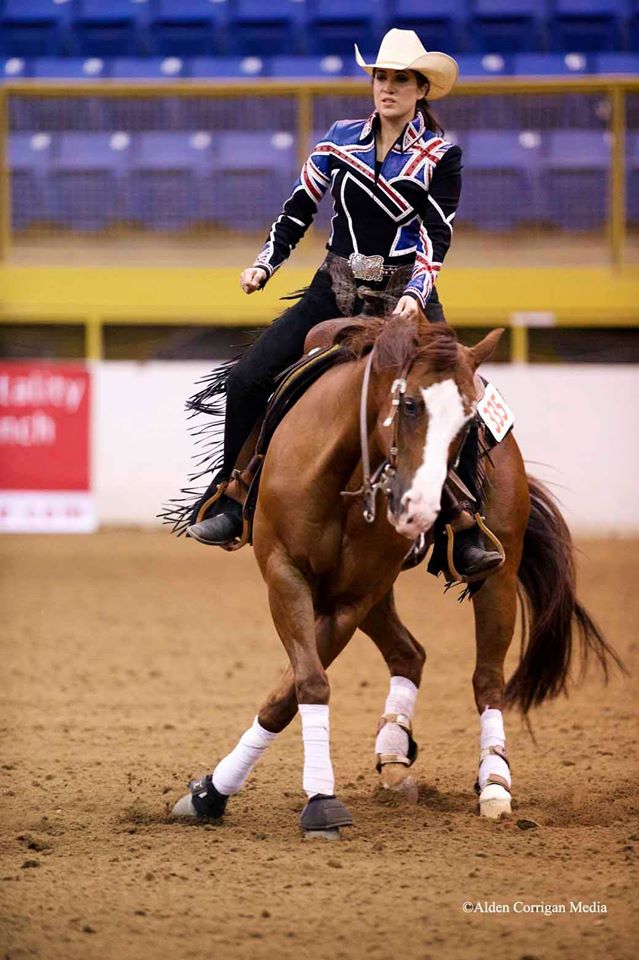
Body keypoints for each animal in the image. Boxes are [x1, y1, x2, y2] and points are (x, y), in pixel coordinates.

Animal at [172, 316, 617, 834]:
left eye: (468, 423)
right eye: (409, 404)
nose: (419, 508)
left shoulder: (346, 599)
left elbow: (294, 690)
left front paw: (316, 799)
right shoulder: (288, 575)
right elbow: (305, 683)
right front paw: (212, 794)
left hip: (493, 577)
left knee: (487, 680)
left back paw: (494, 781)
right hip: (379, 590)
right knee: (410, 654)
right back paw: (393, 754)